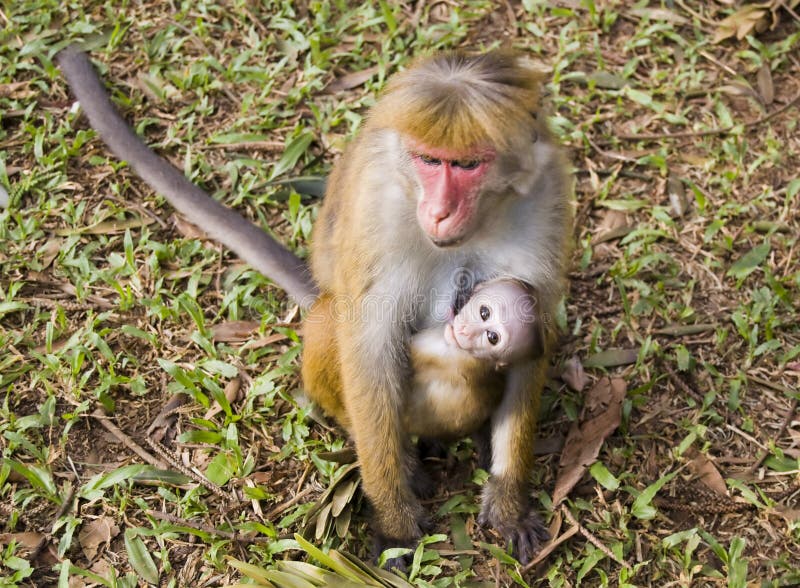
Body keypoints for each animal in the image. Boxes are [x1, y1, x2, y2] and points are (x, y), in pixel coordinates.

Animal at [57, 48, 573, 566]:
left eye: (467, 165)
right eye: (428, 161)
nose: (439, 211)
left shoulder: (544, 196)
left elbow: (532, 341)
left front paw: (508, 500)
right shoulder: (377, 204)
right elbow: (369, 346)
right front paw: (395, 521)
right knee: (333, 321)